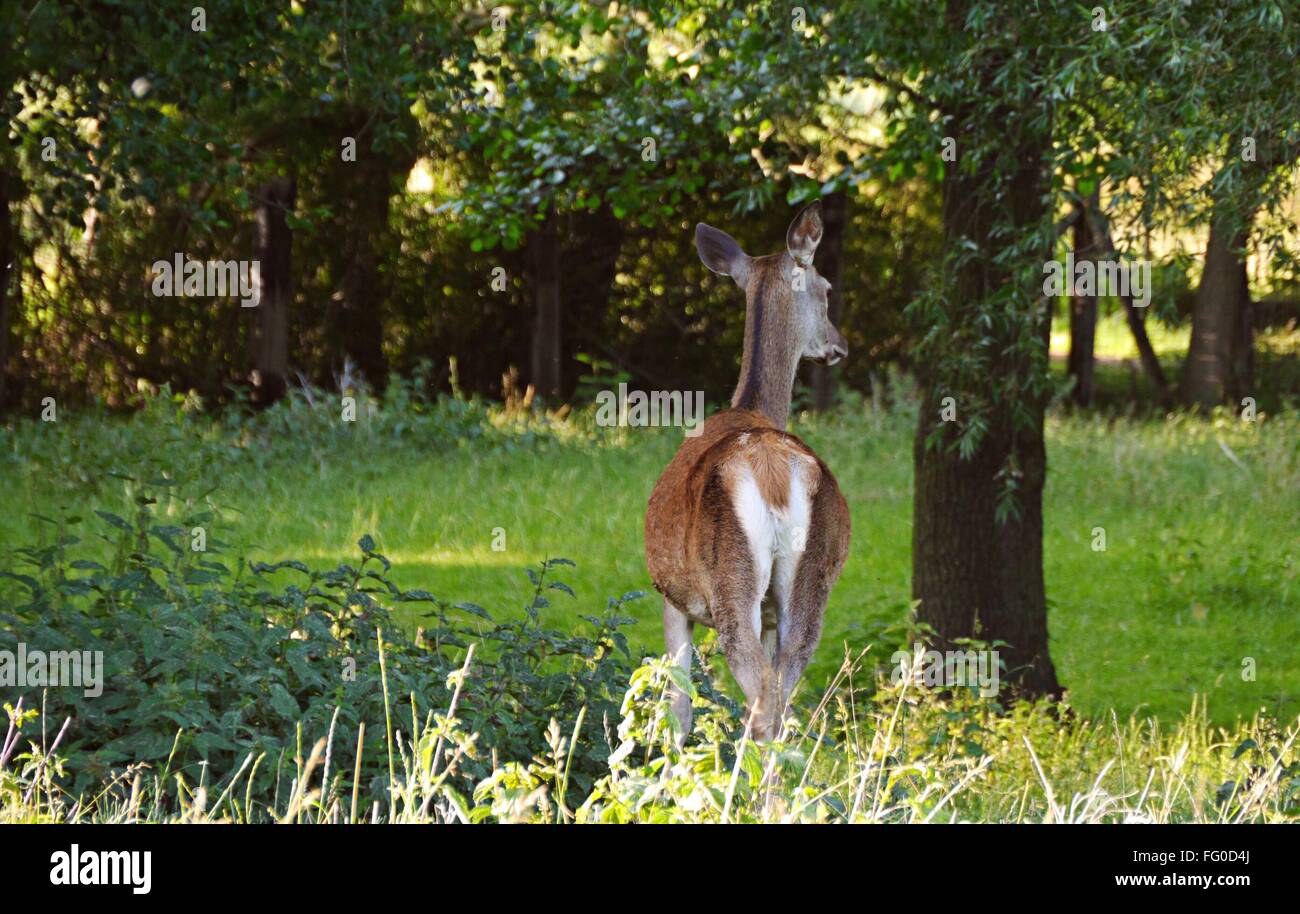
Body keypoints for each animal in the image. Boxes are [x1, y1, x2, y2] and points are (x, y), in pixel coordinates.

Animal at [644, 201, 851, 742]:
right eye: (827, 289)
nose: (839, 345)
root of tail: (773, 473)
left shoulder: (673, 596)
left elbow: (678, 710)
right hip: (809, 583)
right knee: (782, 698)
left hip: (730, 581)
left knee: (758, 697)